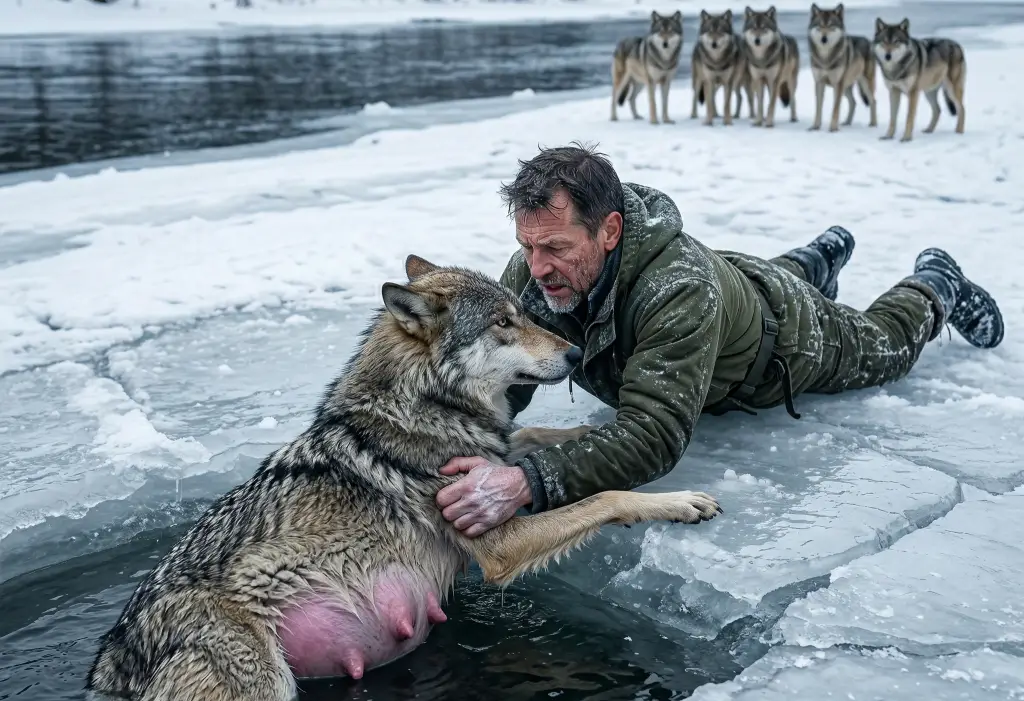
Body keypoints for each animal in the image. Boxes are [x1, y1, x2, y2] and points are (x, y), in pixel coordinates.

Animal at [85, 256, 722, 701]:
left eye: (523, 312)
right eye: (503, 323)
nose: (572, 355)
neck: (421, 403)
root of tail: (110, 660)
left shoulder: (497, 457)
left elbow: (538, 439)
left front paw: (598, 429)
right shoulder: (498, 545)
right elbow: (607, 497)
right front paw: (682, 501)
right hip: (264, 680)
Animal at [807, 3, 878, 131]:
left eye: (831, 26)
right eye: (820, 25)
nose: (824, 39)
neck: (825, 58)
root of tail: (868, 41)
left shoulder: (837, 84)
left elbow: (835, 108)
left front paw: (833, 128)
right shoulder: (819, 82)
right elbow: (818, 108)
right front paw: (815, 127)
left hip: (863, 84)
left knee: (873, 101)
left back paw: (873, 124)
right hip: (846, 87)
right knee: (853, 102)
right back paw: (847, 122)